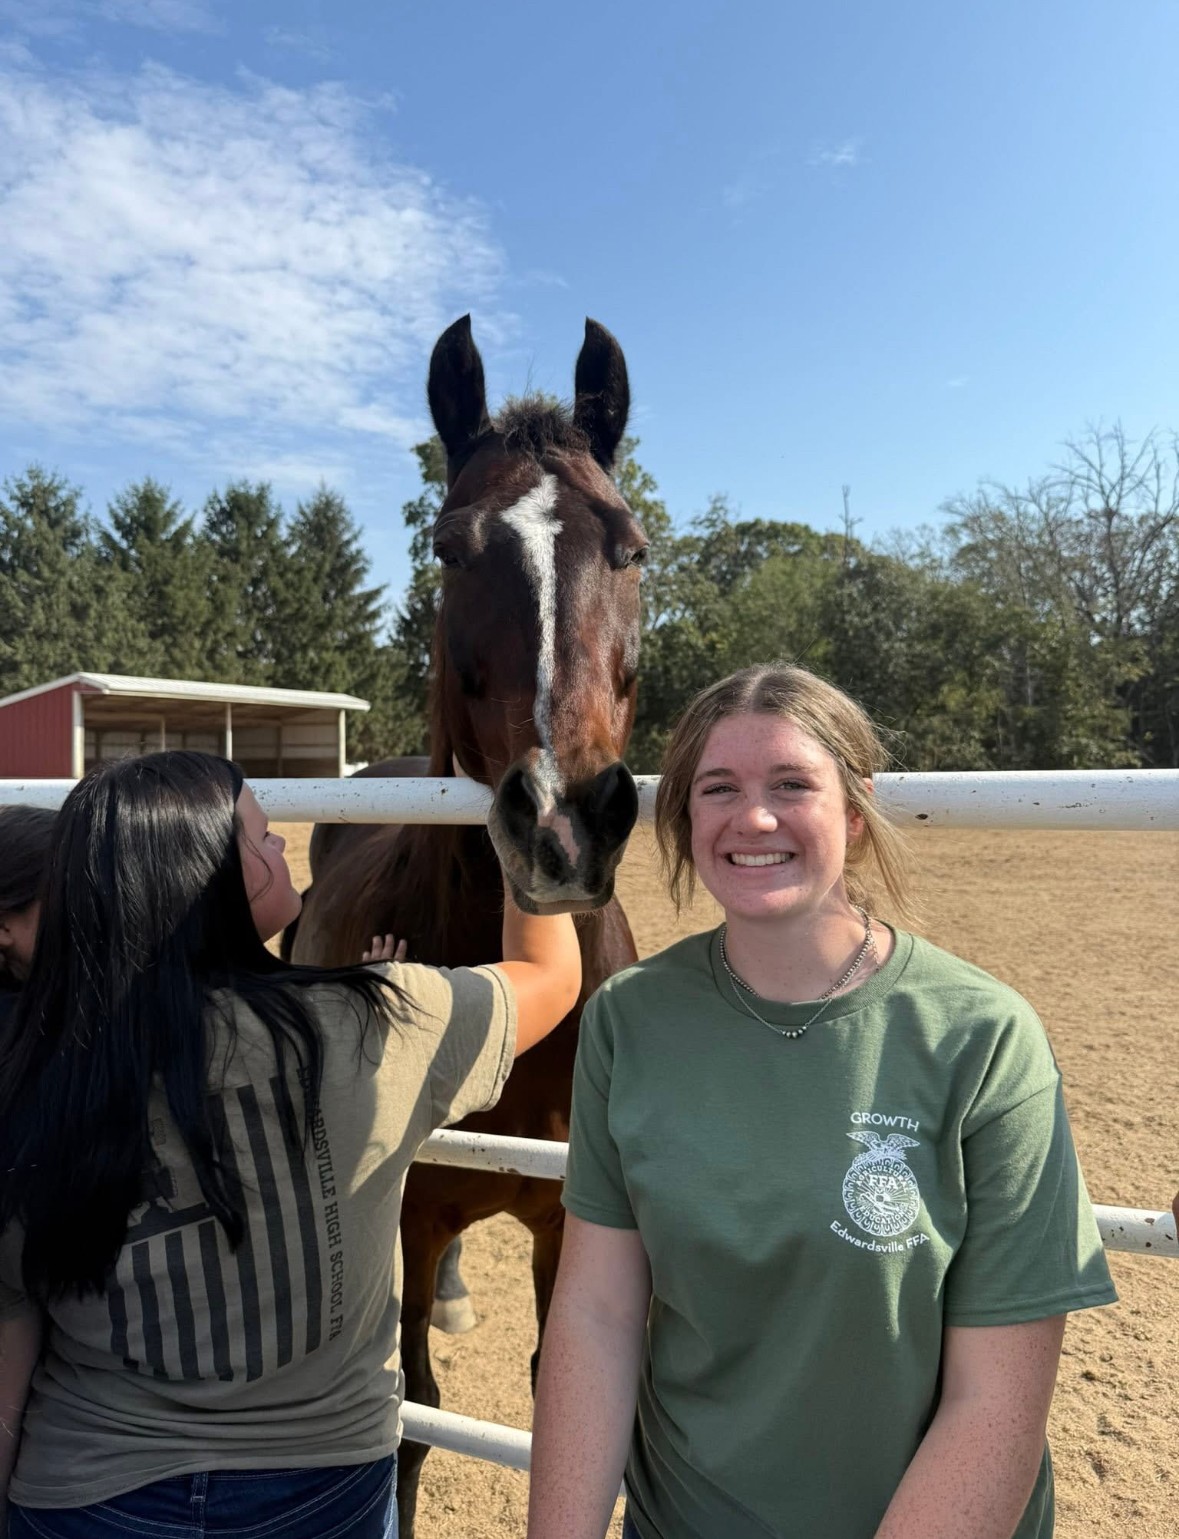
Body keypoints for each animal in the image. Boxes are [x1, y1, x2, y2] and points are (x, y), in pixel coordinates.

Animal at [289, 314, 647, 1536]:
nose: (564, 822)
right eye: (449, 548)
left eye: (629, 547)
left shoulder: (572, 1229)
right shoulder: (401, 1212)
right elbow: (413, 1412)